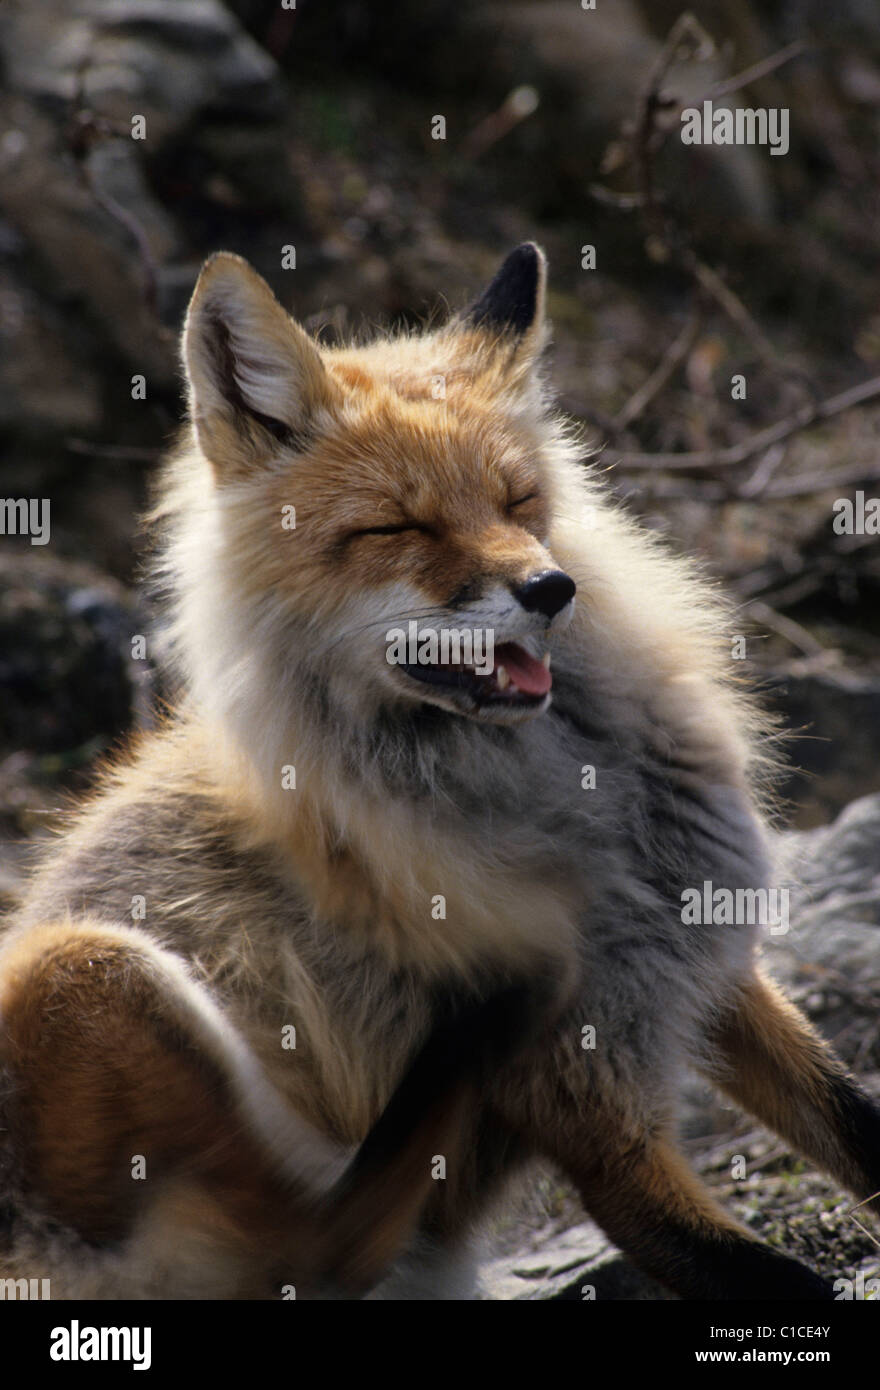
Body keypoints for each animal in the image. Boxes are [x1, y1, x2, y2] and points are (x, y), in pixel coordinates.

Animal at [1, 241, 879, 1300]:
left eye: (518, 500)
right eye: (398, 528)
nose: (551, 587)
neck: (594, 820)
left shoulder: (706, 961)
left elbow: (859, 1125)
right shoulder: (593, 1109)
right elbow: (765, 1273)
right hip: (82, 965)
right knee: (319, 1244)